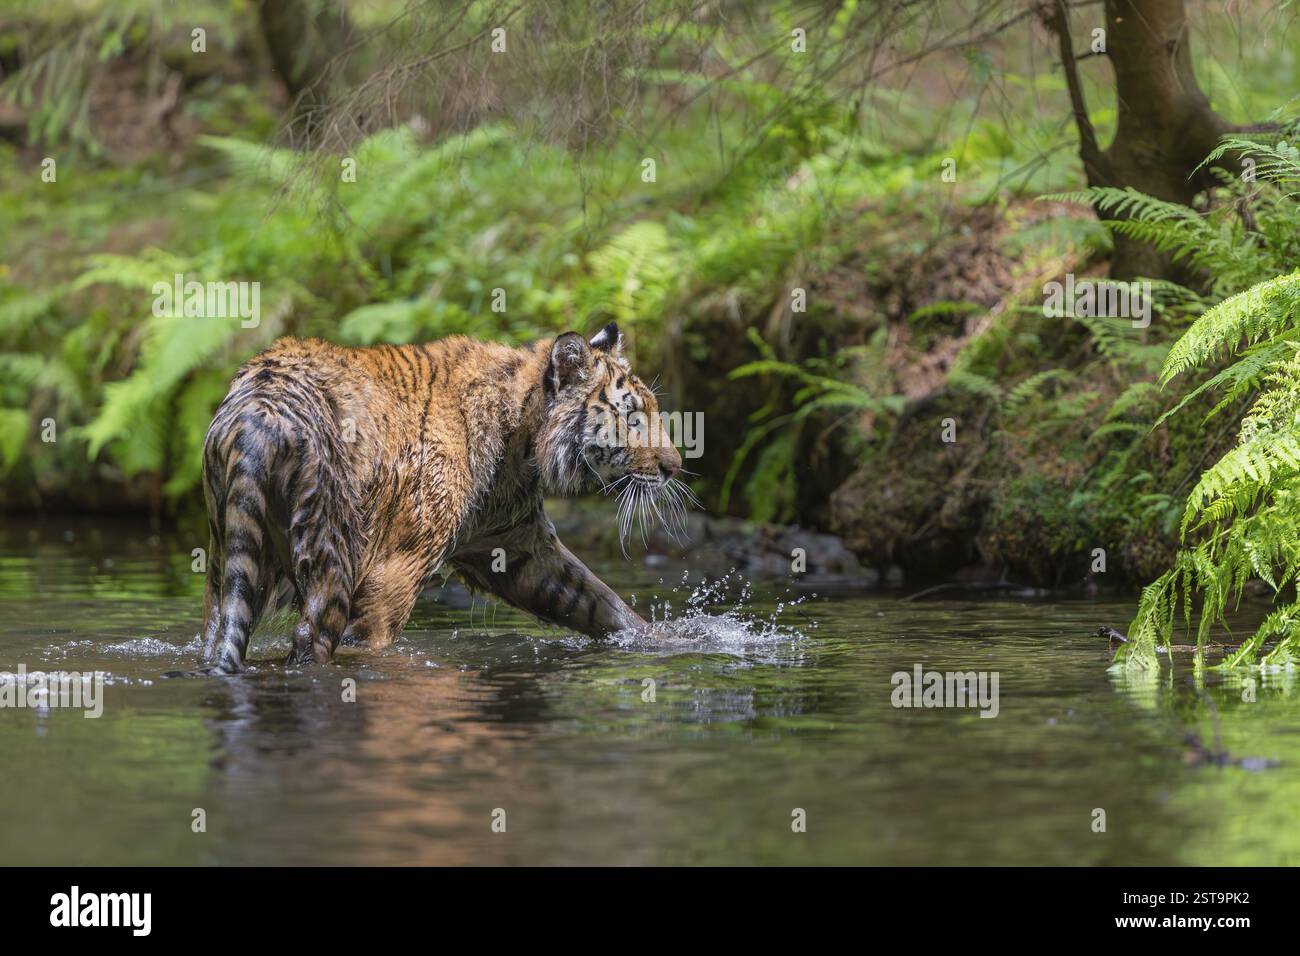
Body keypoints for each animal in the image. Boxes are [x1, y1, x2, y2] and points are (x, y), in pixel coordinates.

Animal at [196, 322, 689, 674]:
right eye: (631, 417)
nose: (675, 466)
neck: (522, 439)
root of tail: (259, 411)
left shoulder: (514, 544)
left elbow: (601, 601)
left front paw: (672, 641)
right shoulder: (394, 571)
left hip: (230, 561)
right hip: (333, 556)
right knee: (310, 639)